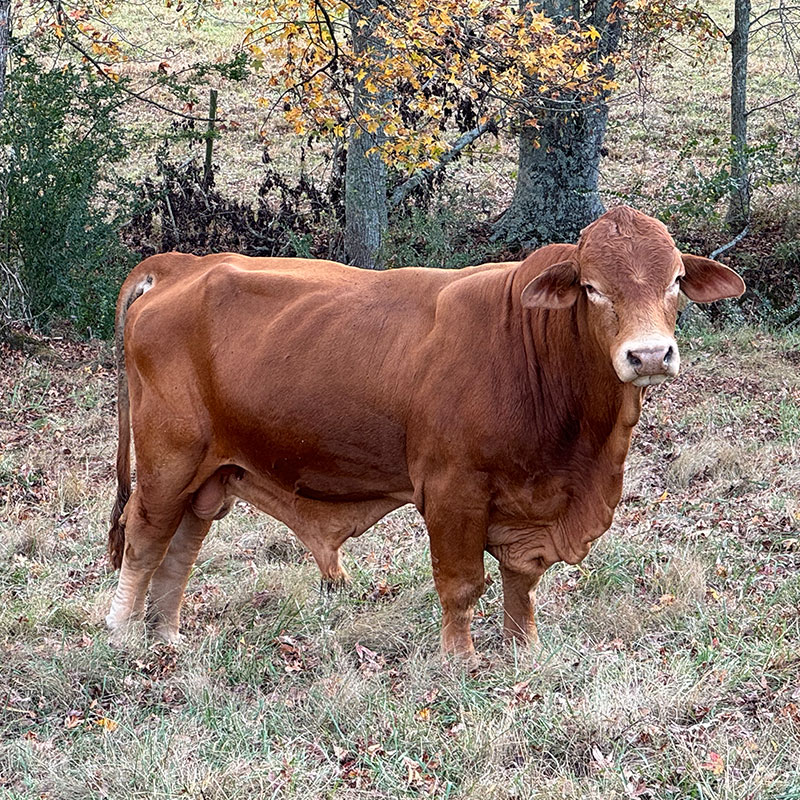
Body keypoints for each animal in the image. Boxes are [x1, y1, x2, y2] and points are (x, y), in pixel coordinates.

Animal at [106, 206, 745, 658]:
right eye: (592, 287)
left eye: (676, 280)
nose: (650, 354)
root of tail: (183, 265)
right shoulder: (451, 491)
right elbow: (462, 583)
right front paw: (460, 660)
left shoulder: (530, 506)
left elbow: (522, 582)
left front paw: (525, 650)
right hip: (168, 461)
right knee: (143, 539)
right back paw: (119, 636)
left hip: (212, 472)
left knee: (181, 545)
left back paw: (164, 636)